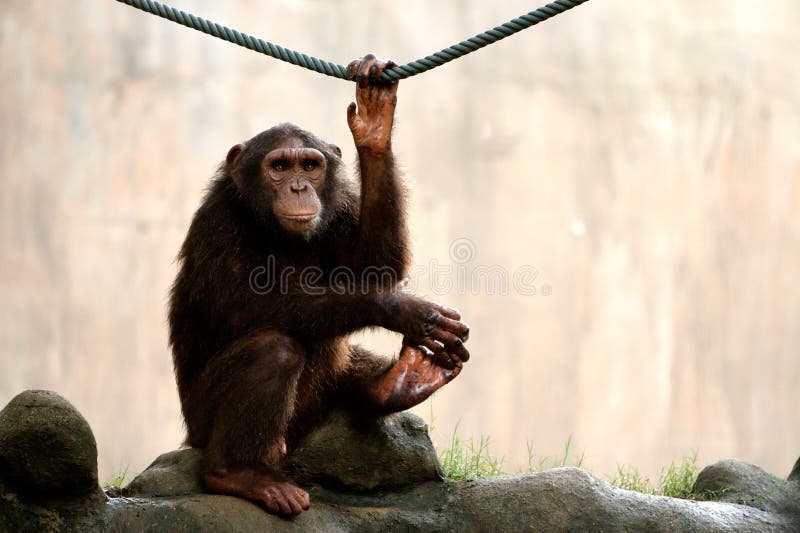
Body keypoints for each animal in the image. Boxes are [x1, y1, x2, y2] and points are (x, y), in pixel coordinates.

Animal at [168, 55, 470, 516]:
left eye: (309, 165)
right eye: (279, 167)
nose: (298, 186)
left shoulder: (341, 203)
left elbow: (372, 269)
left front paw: (375, 124)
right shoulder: (218, 222)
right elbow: (246, 307)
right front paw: (405, 310)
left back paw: (400, 382)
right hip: (202, 423)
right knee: (274, 349)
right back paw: (239, 474)